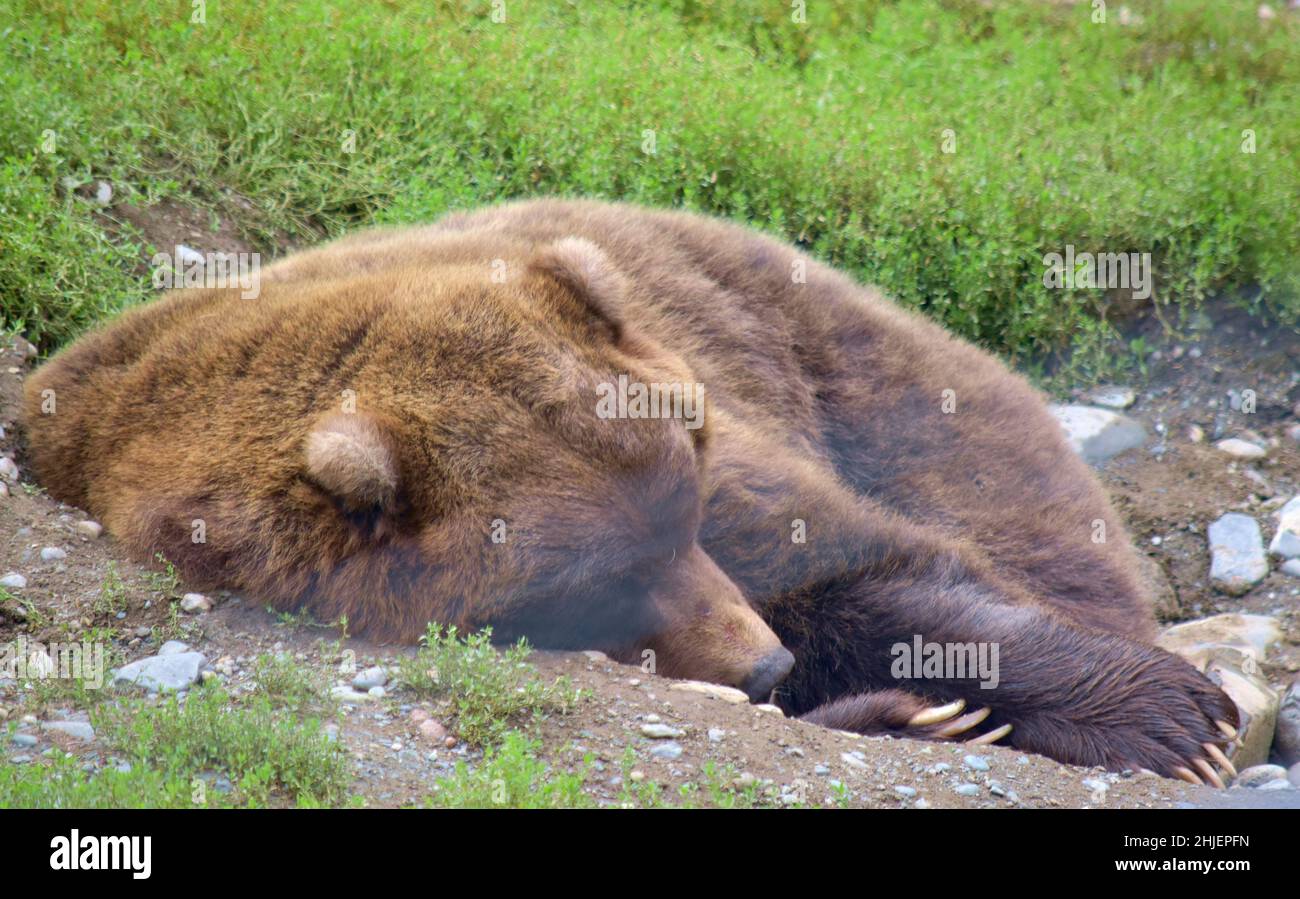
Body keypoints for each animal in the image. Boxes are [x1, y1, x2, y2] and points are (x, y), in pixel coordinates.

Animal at [21, 198, 1238, 783]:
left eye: (684, 511)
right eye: (594, 583)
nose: (763, 663)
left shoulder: (719, 422)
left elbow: (865, 564)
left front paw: (1176, 712)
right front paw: (924, 710)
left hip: (870, 373)